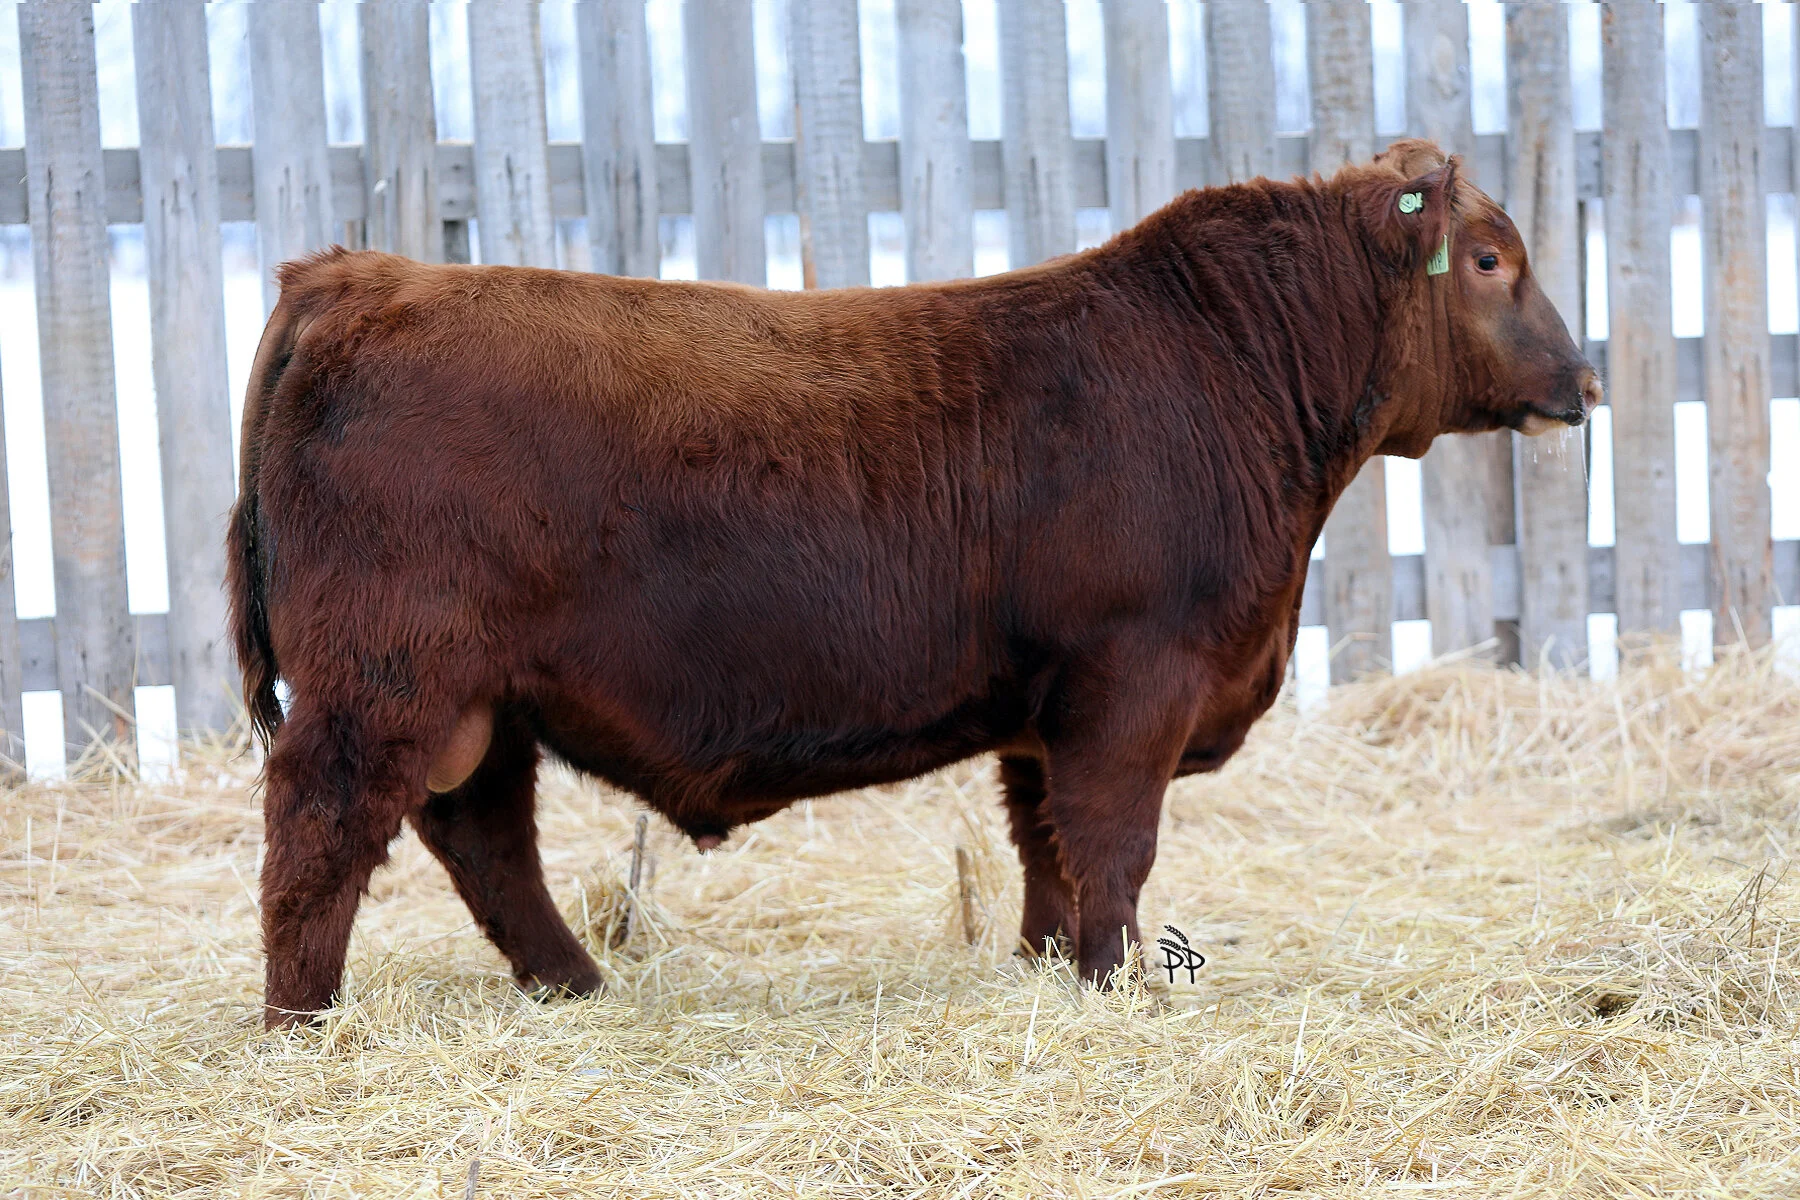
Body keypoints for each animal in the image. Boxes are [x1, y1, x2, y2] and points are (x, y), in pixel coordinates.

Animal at [230, 139, 1600, 1027]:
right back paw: (306, 1019)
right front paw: (1116, 981)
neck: (1229, 366)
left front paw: (1050, 968)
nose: (1585, 381)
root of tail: (361, 276)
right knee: (321, 828)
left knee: (481, 836)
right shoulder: (1134, 677)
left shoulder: (1046, 707)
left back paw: (571, 985)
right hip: (382, 684)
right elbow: (1114, 842)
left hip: (480, 702)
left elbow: (1047, 844)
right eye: (1491, 259)